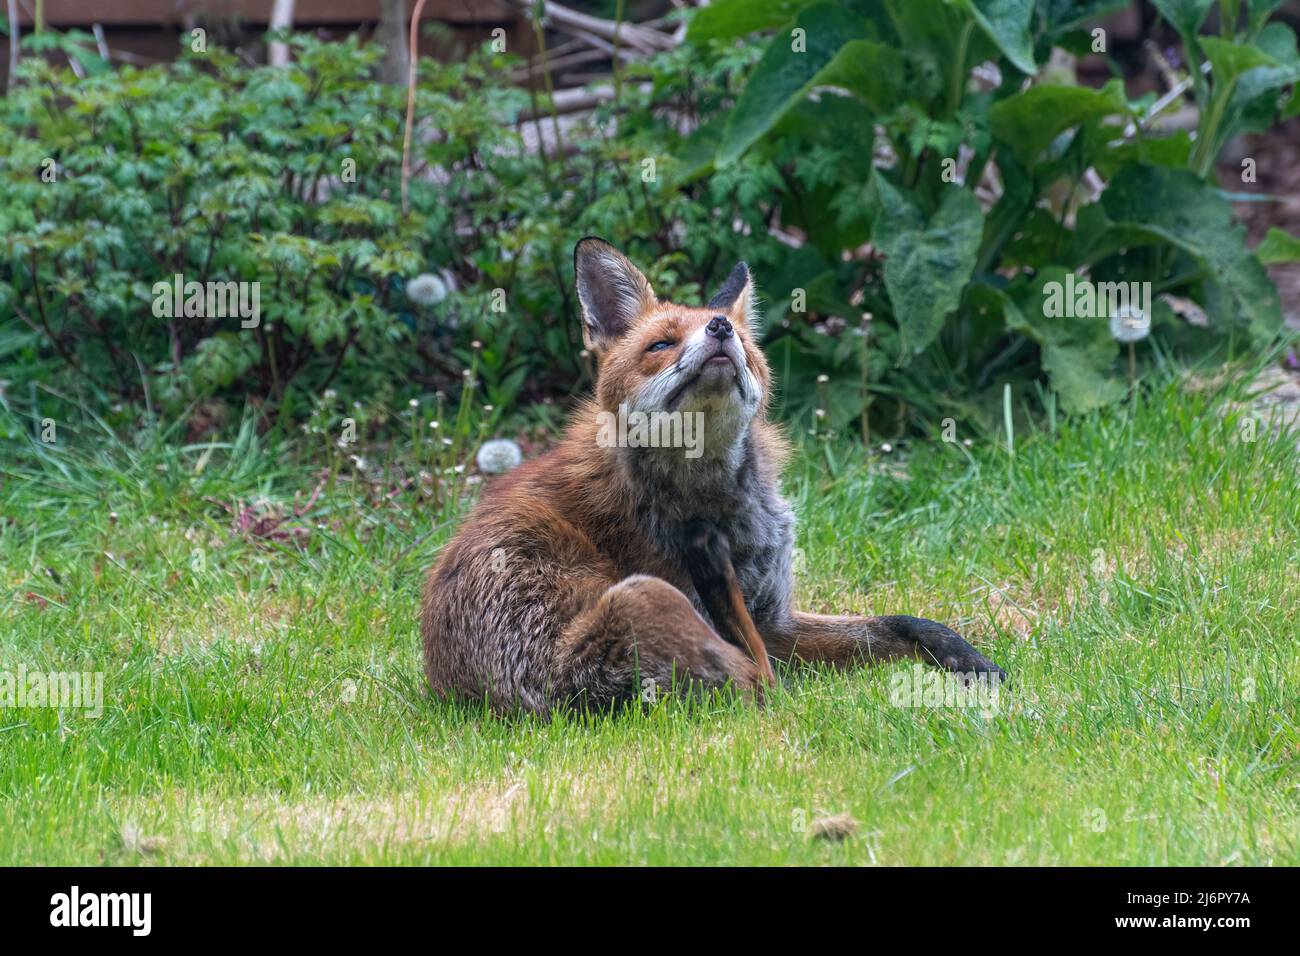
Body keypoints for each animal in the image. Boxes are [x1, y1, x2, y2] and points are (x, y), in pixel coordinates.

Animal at [421, 237, 1007, 713]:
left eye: (743, 343)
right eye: (660, 345)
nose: (721, 327)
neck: (719, 503)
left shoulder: (776, 618)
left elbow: (901, 623)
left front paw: (969, 660)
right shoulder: (744, 623)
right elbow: (769, 665)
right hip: (644, 598)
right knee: (763, 686)